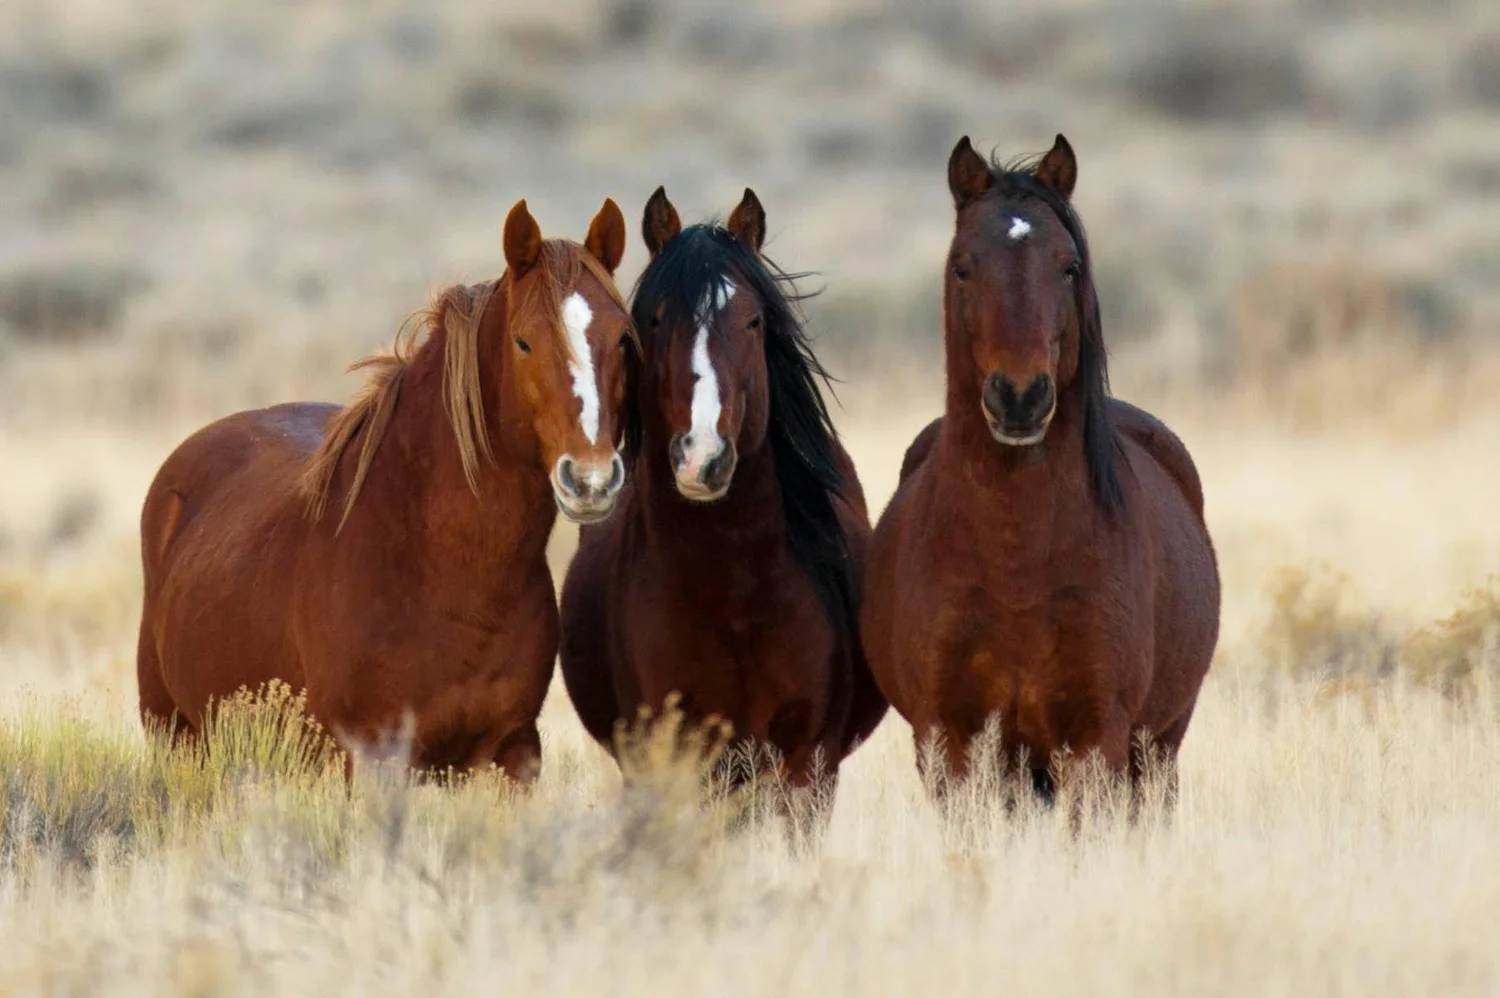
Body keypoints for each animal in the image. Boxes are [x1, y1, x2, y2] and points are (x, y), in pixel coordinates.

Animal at [136, 198, 635, 782]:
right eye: (524, 341)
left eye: (623, 339)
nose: (591, 477)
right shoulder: (367, 758)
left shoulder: (511, 754)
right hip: (176, 736)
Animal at [559, 187, 886, 803]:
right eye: (656, 320)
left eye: (754, 321)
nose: (703, 458)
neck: (733, 594)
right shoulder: (668, 760)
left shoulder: (807, 764)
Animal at [861, 135, 1220, 806]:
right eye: (963, 266)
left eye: (1068, 266)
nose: (1020, 397)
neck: (1016, 559)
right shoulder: (950, 740)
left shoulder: (1096, 740)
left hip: (1156, 751)